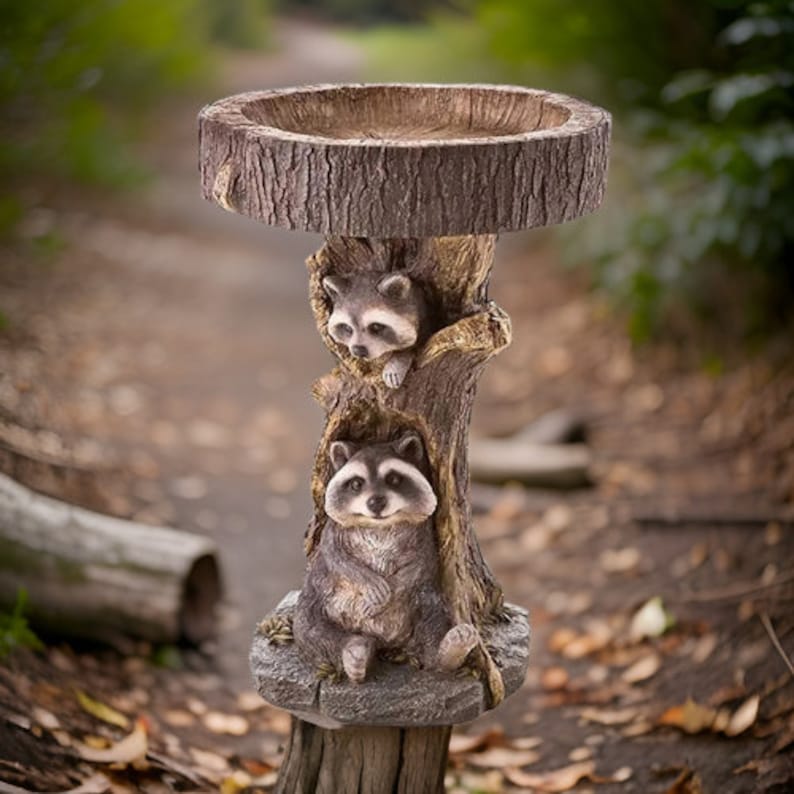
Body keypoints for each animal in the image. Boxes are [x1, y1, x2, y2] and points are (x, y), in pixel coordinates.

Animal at [293, 431, 479, 683]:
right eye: (356, 484)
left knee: (432, 618)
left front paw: (394, 588)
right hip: (317, 598)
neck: (379, 525)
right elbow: (335, 558)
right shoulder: (333, 531)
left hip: (425, 601)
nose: (376, 503)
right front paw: (367, 580)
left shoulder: (423, 532)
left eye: (393, 479)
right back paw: (353, 652)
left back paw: (447, 651)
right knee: (309, 627)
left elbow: (420, 564)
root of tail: (384, 642)